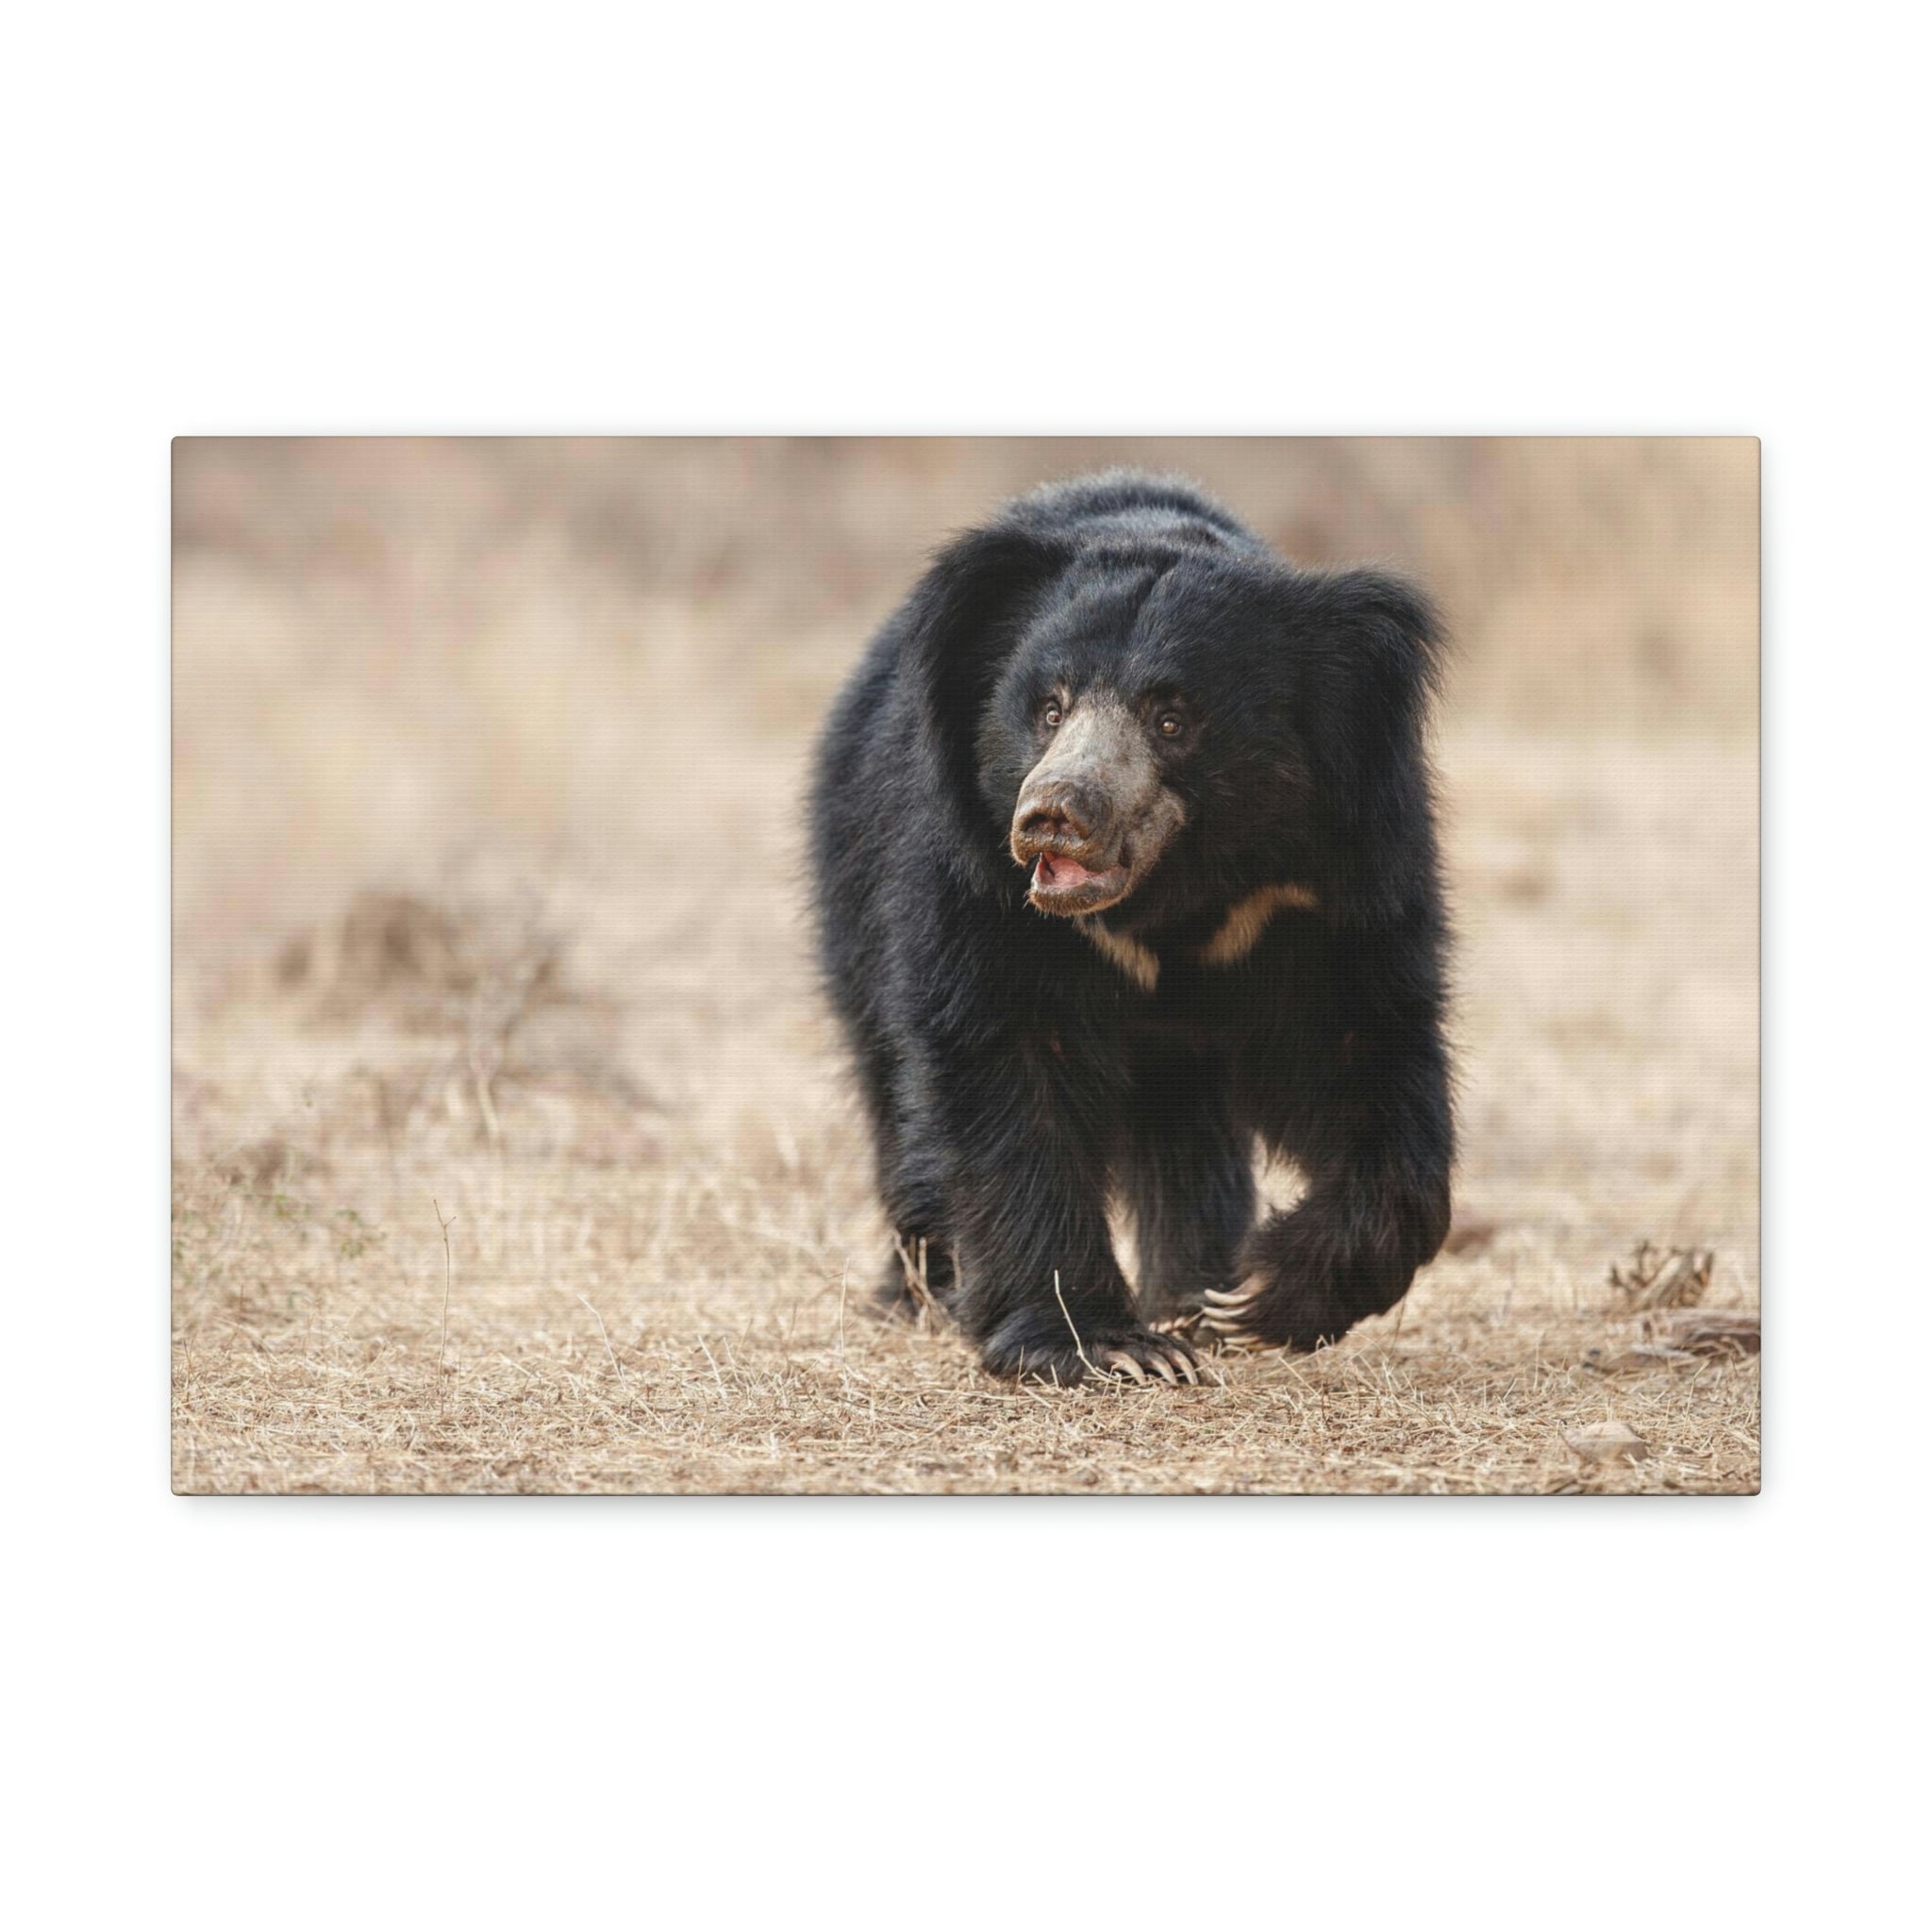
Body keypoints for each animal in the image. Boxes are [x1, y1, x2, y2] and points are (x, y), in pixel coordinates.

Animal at [808, 471, 1453, 1386]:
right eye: (1048, 708)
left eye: (1171, 719)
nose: (1053, 817)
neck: (1170, 898)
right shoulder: (975, 883)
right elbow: (1004, 1064)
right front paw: (1106, 1345)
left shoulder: (1330, 883)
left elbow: (1364, 1047)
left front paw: (1254, 1297)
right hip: (852, 891)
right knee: (891, 1088)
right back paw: (921, 1292)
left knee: (1187, 1134)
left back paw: (1192, 1292)